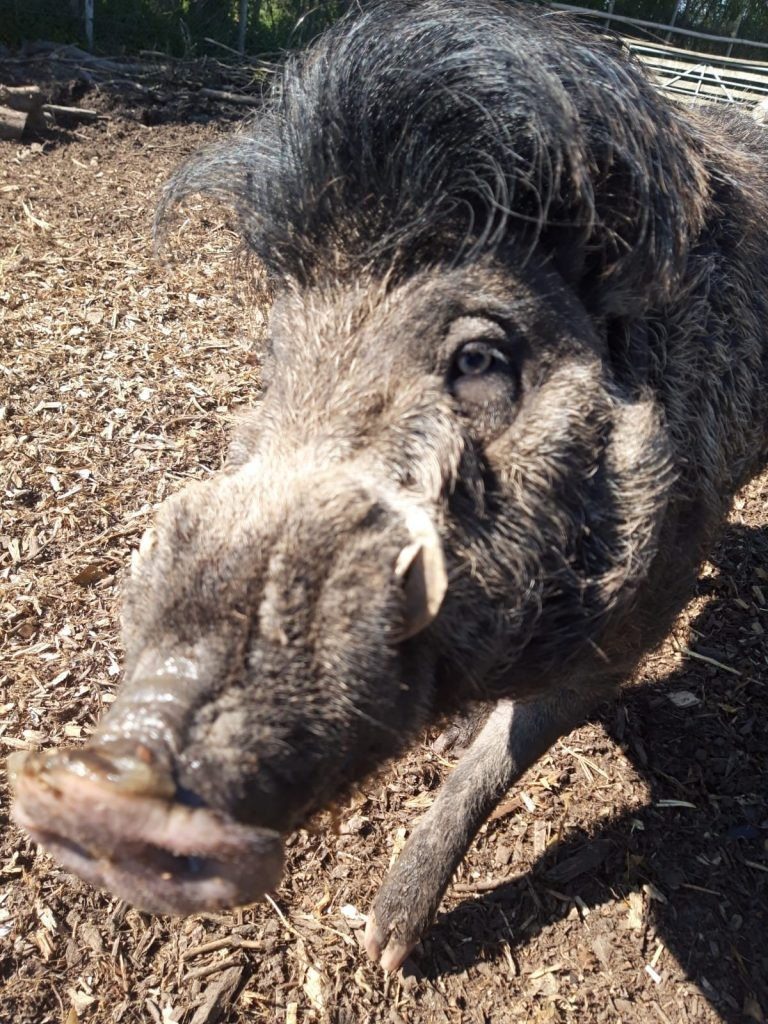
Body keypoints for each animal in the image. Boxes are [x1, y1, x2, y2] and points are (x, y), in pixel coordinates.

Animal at [10, 0, 768, 974]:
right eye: (276, 358)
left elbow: (506, 754)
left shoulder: (644, 607)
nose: (105, 786)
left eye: (480, 359)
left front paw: (384, 947)